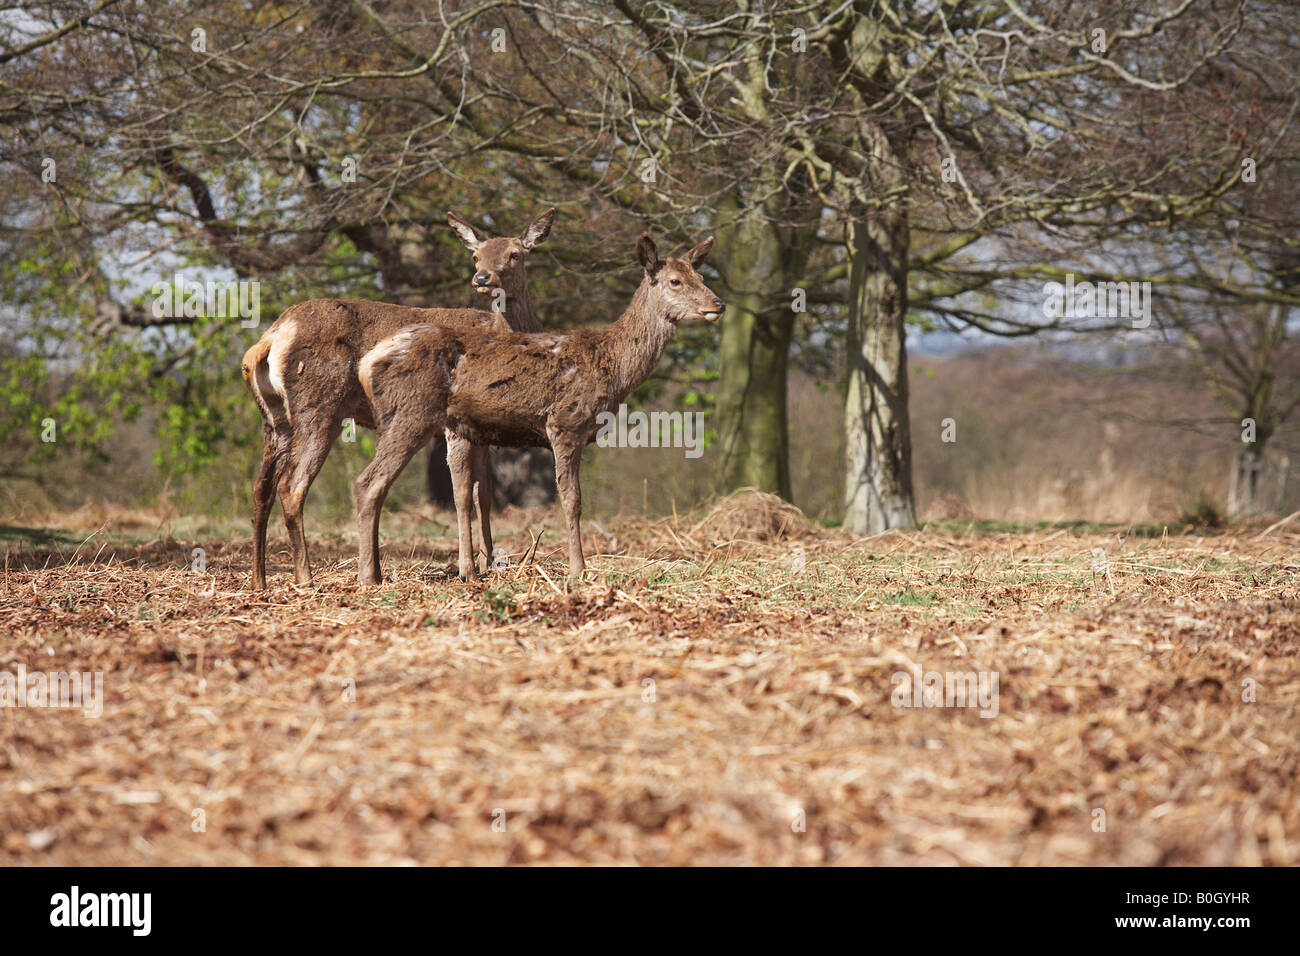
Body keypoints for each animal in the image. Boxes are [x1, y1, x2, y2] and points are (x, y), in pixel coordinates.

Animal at [241, 207, 555, 589]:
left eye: (514, 254)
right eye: (476, 256)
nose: (482, 277)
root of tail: (269, 340)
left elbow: (485, 495)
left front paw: (490, 562)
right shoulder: (455, 427)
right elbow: (462, 493)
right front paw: (468, 568)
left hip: (274, 420)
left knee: (262, 487)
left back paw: (260, 580)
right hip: (319, 407)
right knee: (293, 485)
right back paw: (307, 576)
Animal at [354, 233, 724, 586]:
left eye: (701, 275)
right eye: (675, 281)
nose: (718, 303)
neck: (613, 368)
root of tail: (368, 361)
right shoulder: (564, 422)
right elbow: (572, 500)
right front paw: (578, 569)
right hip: (410, 413)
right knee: (368, 481)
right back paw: (369, 576)